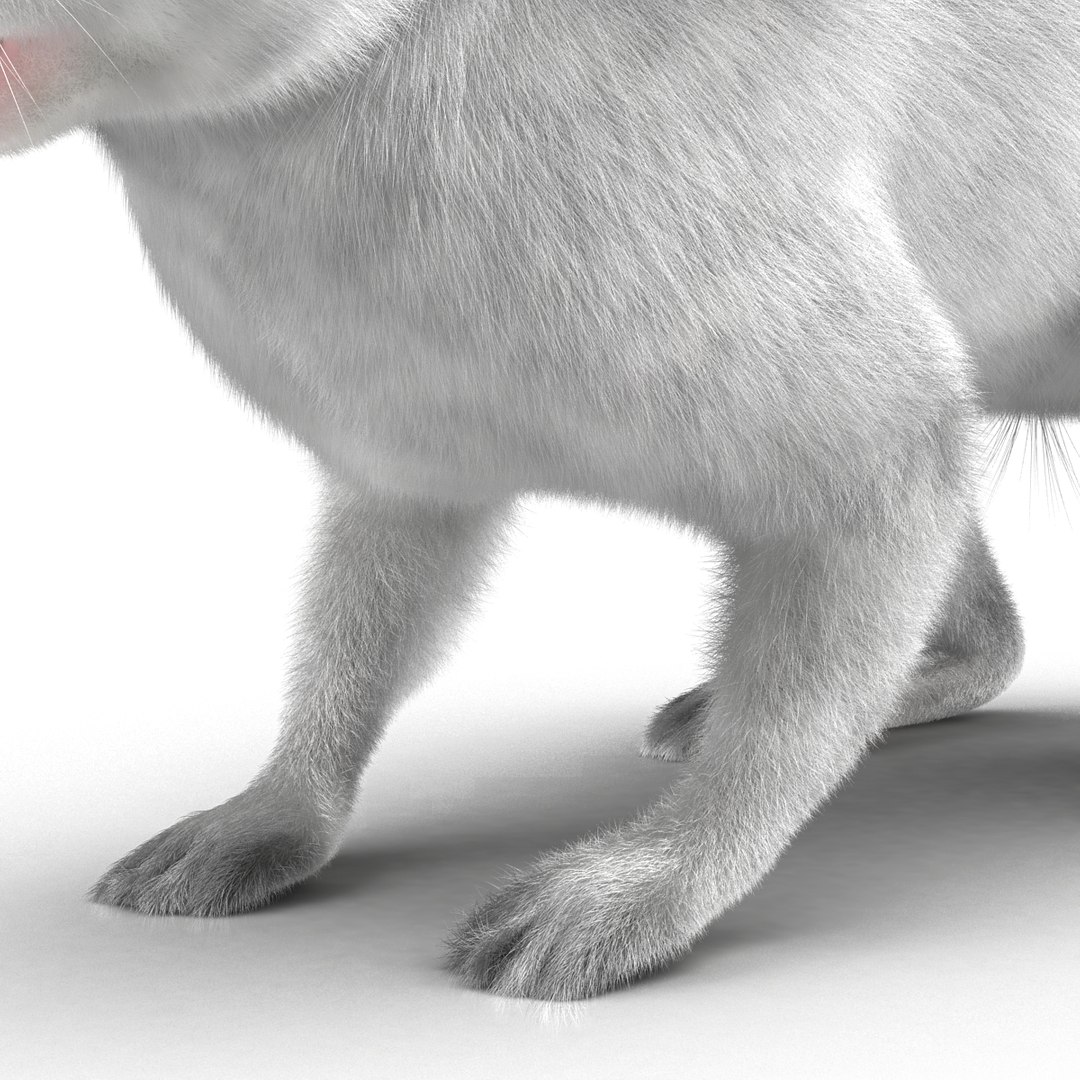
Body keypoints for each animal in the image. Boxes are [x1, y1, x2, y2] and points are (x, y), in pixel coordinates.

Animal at [3, 0, 1075, 1000]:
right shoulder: (407, 449)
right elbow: (366, 621)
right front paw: (238, 832)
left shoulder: (807, 359)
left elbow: (865, 529)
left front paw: (606, 907)